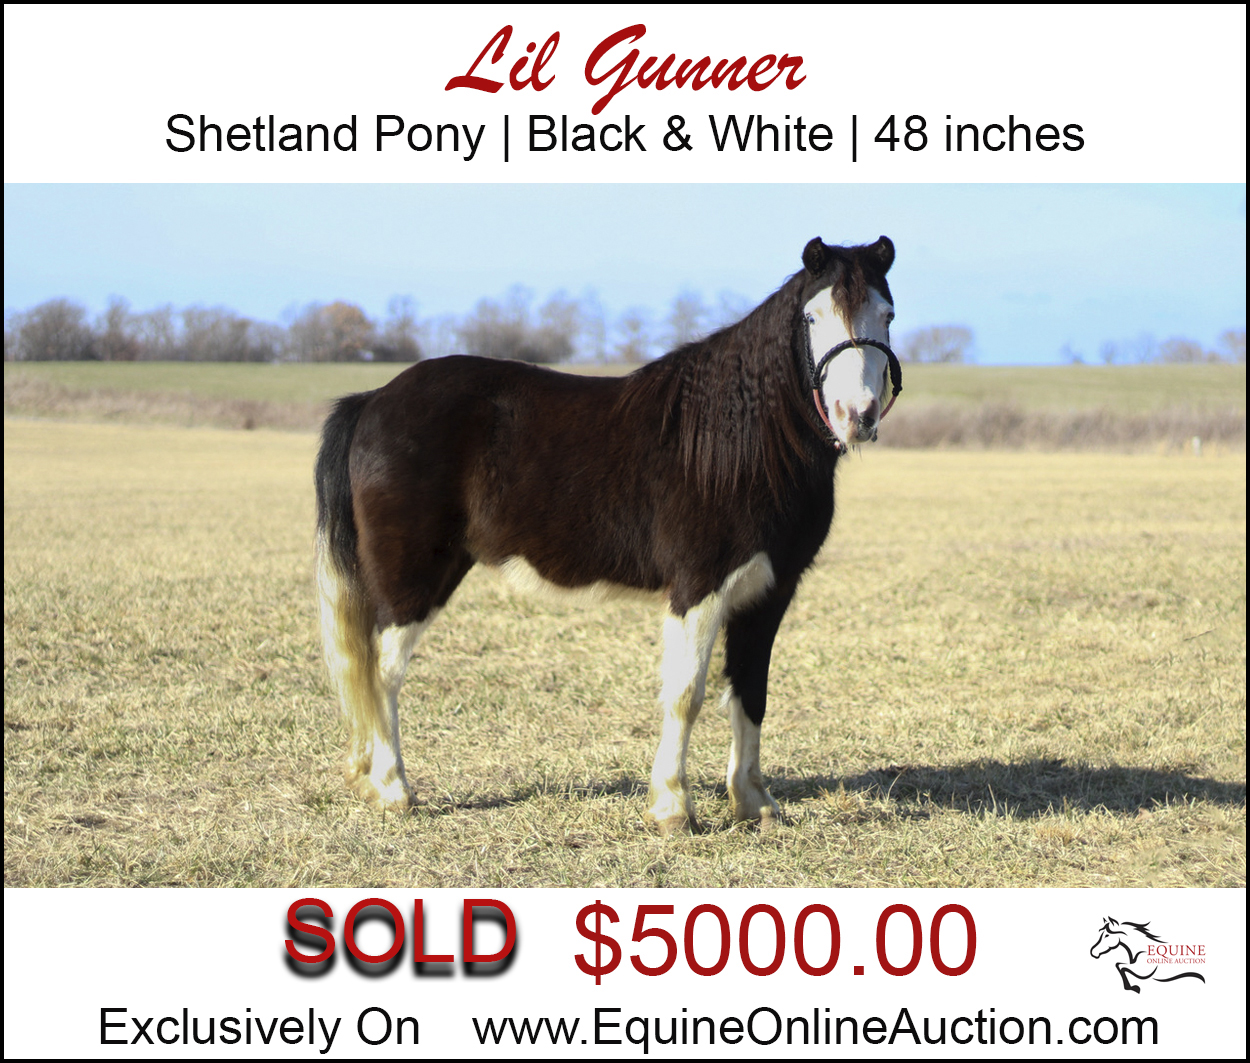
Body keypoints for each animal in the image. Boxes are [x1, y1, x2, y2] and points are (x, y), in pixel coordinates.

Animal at [314, 235, 901, 833]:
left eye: (887, 314)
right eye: (813, 315)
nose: (857, 415)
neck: (739, 442)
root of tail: (372, 401)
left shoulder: (769, 593)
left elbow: (749, 691)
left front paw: (753, 802)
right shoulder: (699, 588)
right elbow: (686, 693)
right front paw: (672, 808)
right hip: (411, 578)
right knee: (382, 674)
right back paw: (392, 788)